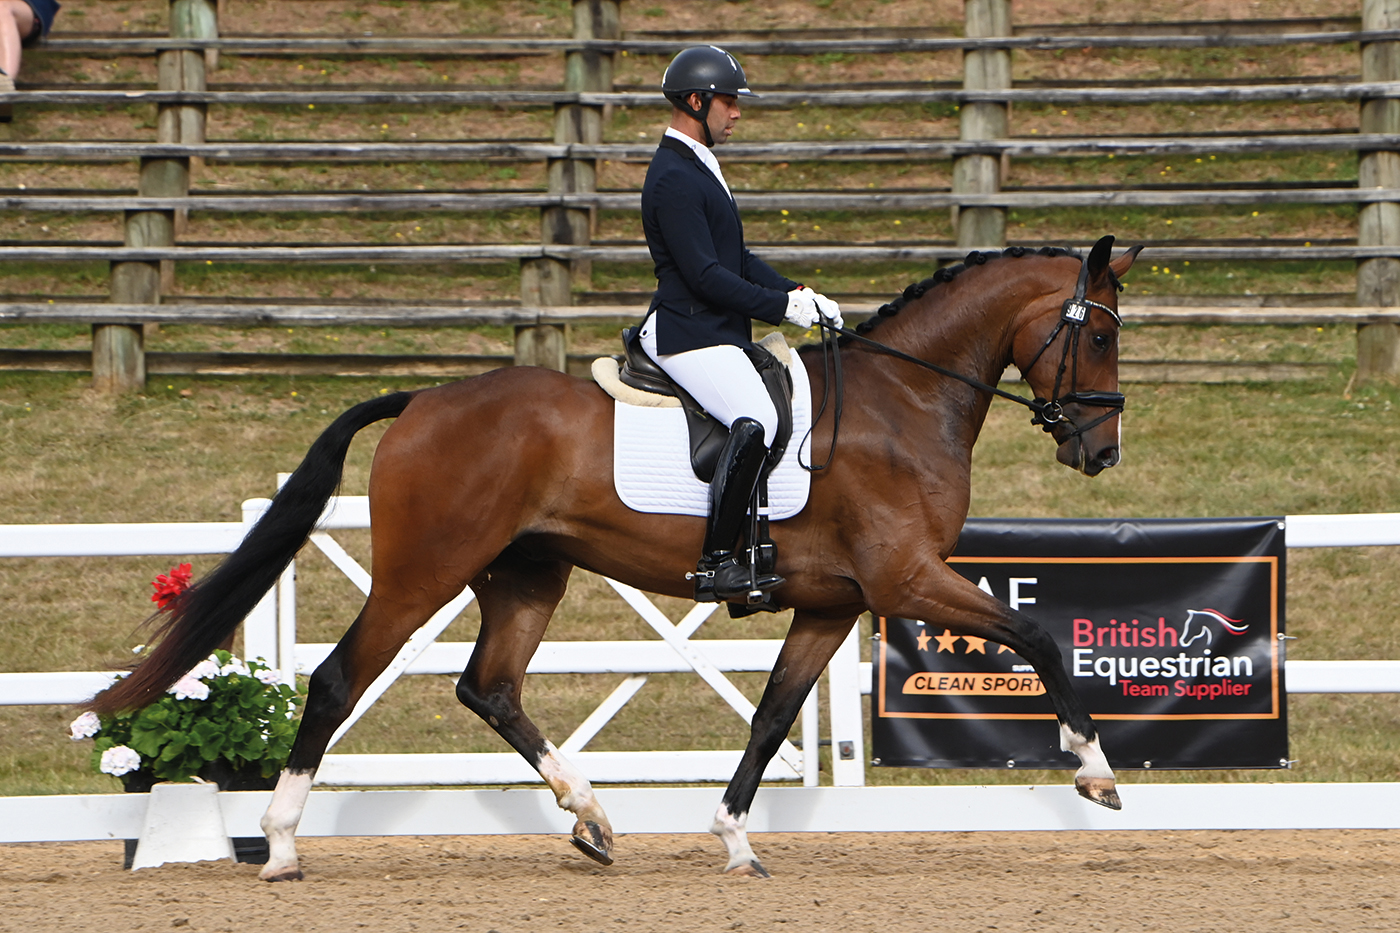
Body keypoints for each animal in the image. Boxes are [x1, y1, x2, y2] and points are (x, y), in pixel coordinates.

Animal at [91, 234, 1143, 881]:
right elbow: (1038, 637)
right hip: (423, 571)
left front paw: (734, 841)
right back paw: (279, 846)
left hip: (527, 573)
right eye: (1098, 331)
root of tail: (424, 398)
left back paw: (591, 816)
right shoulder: (906, 578)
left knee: (490, 685)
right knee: (341, 677)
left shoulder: (832, 604)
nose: (1100, 453)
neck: (903, 402)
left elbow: (771, 717)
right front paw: (1093, 771)